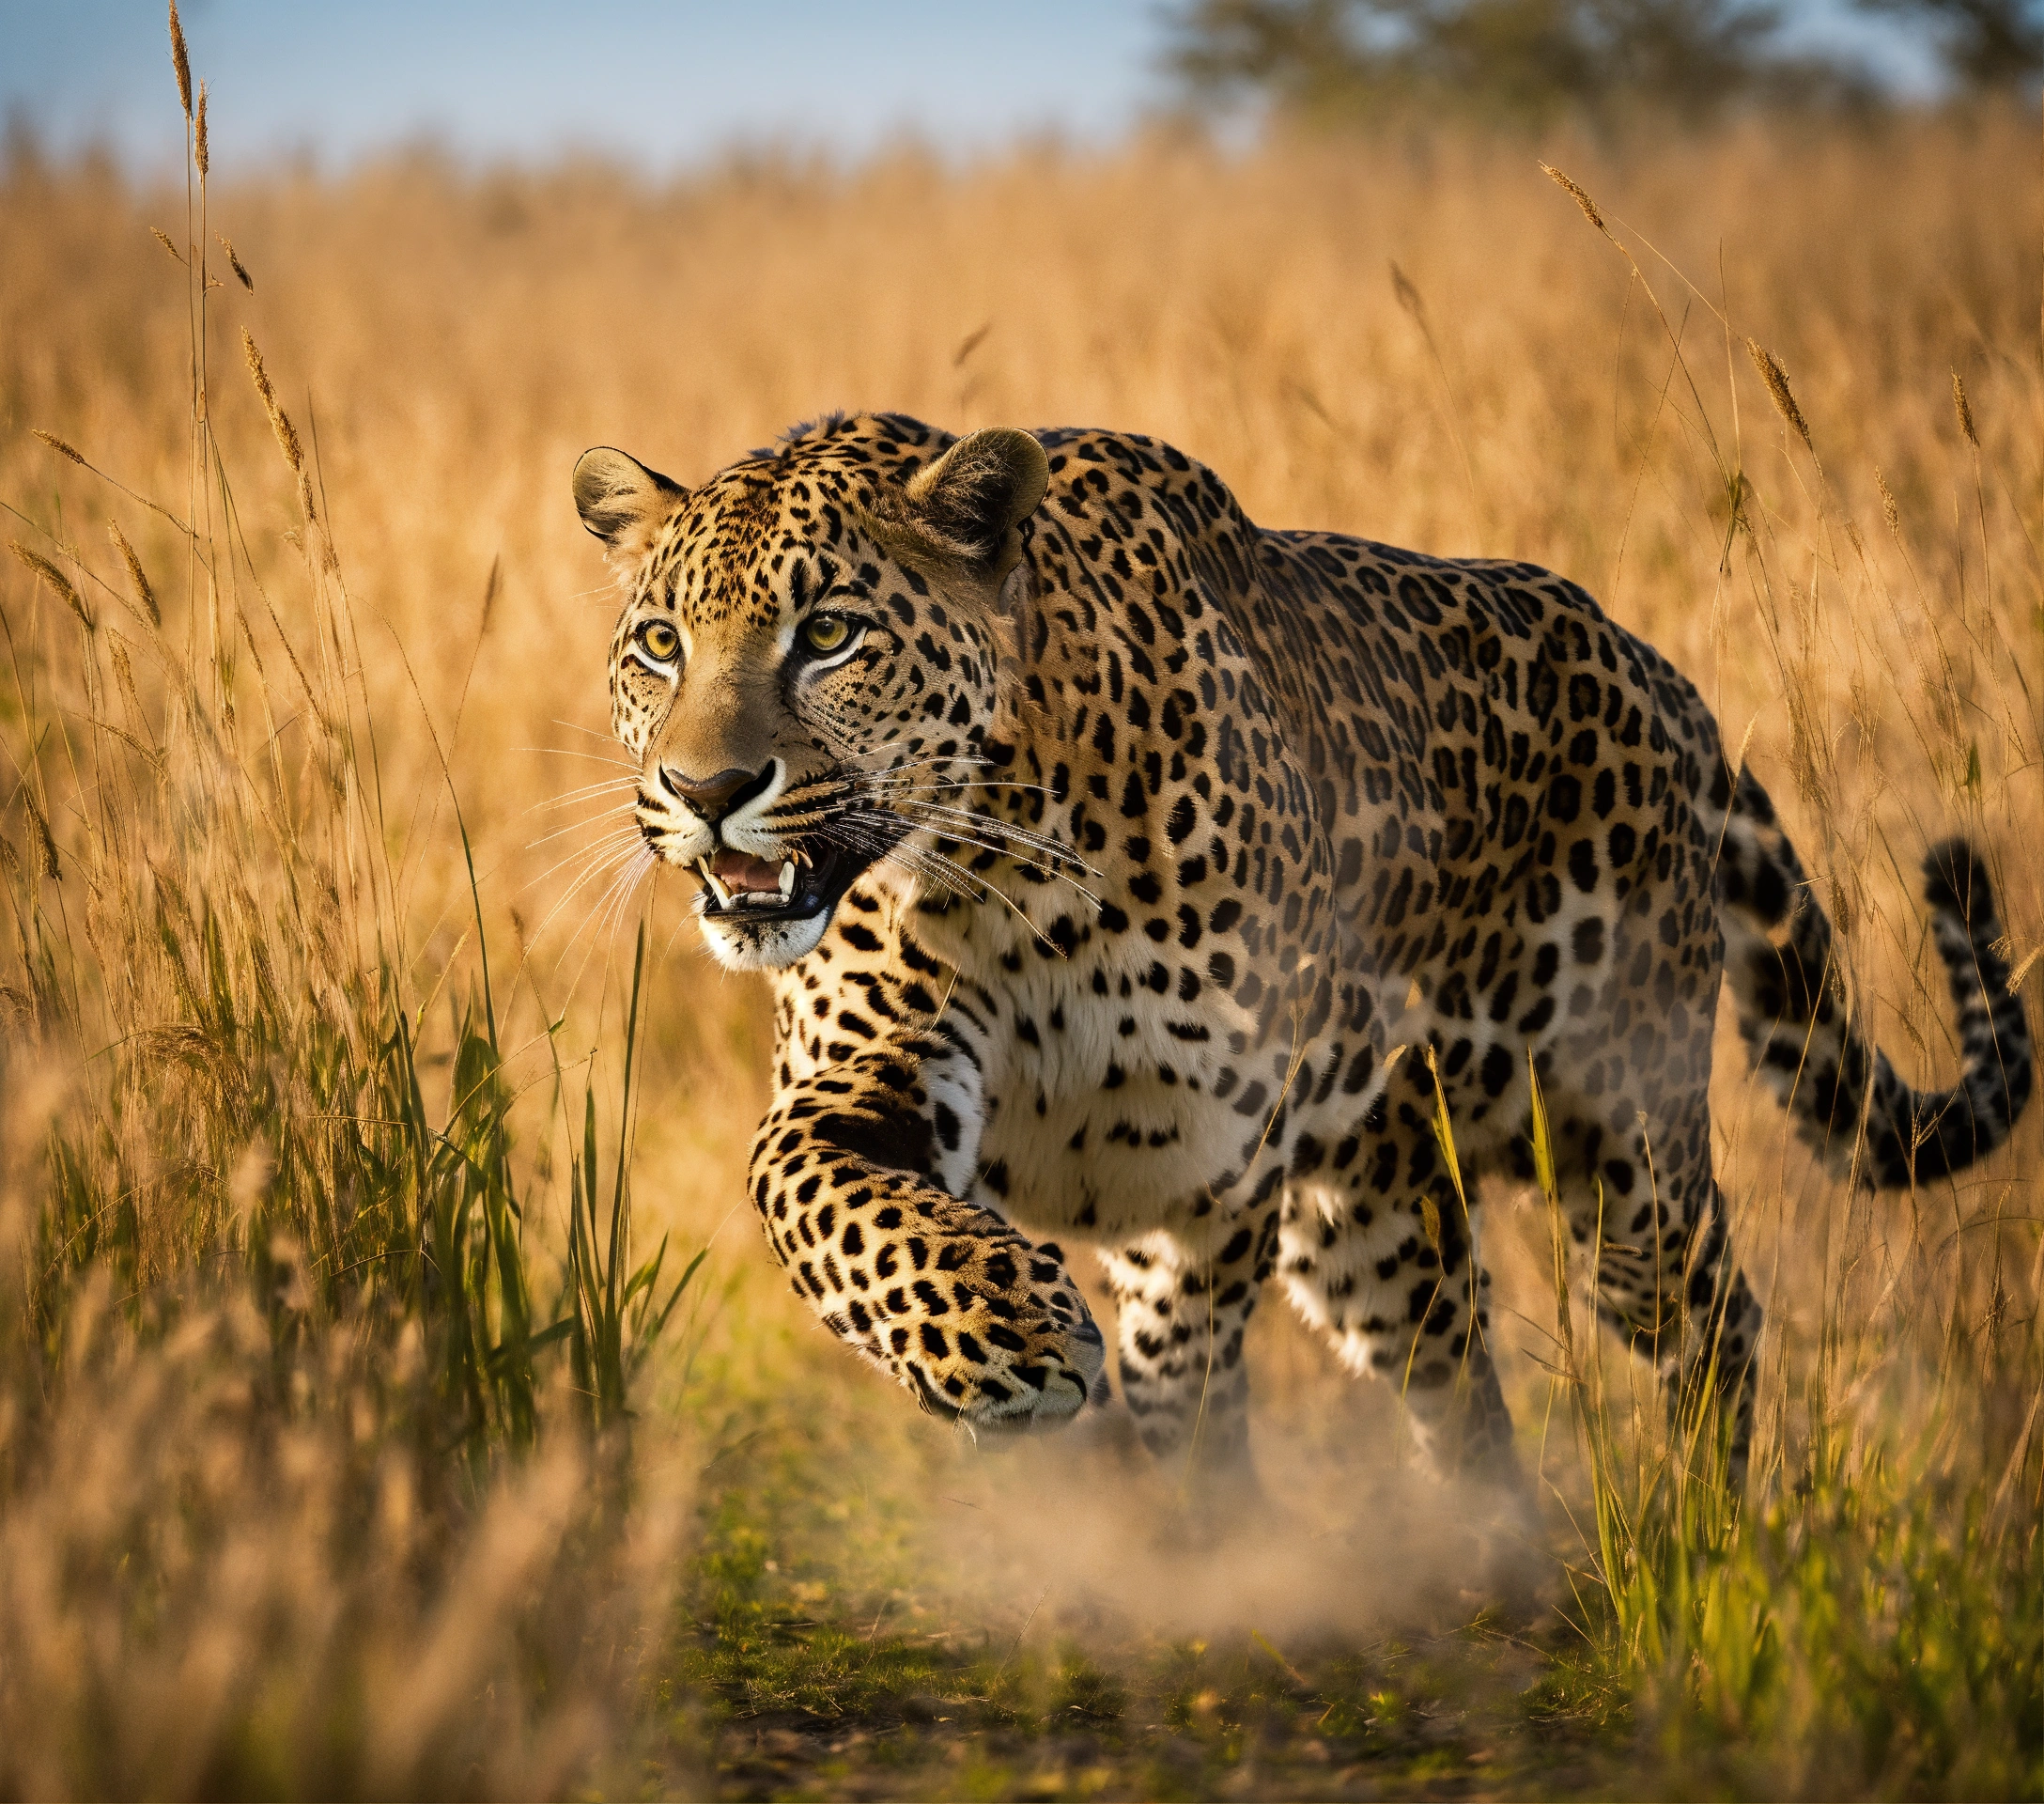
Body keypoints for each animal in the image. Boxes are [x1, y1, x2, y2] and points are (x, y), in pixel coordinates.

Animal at [572, 411, 2031, 1493]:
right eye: (659, 644)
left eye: (829, 634)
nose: (706, 791)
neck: (1012, 864)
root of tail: (1668, 684)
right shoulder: (871, 1067)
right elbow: (822, 1194)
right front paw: (1003, 1336)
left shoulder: (1206, 1168)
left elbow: (1188, 1382)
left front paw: (1194, 1542)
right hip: (1378, 1215)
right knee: (1458, 1376)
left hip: (1625, 1141)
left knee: (1712, 1323)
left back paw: (1713, 1536)